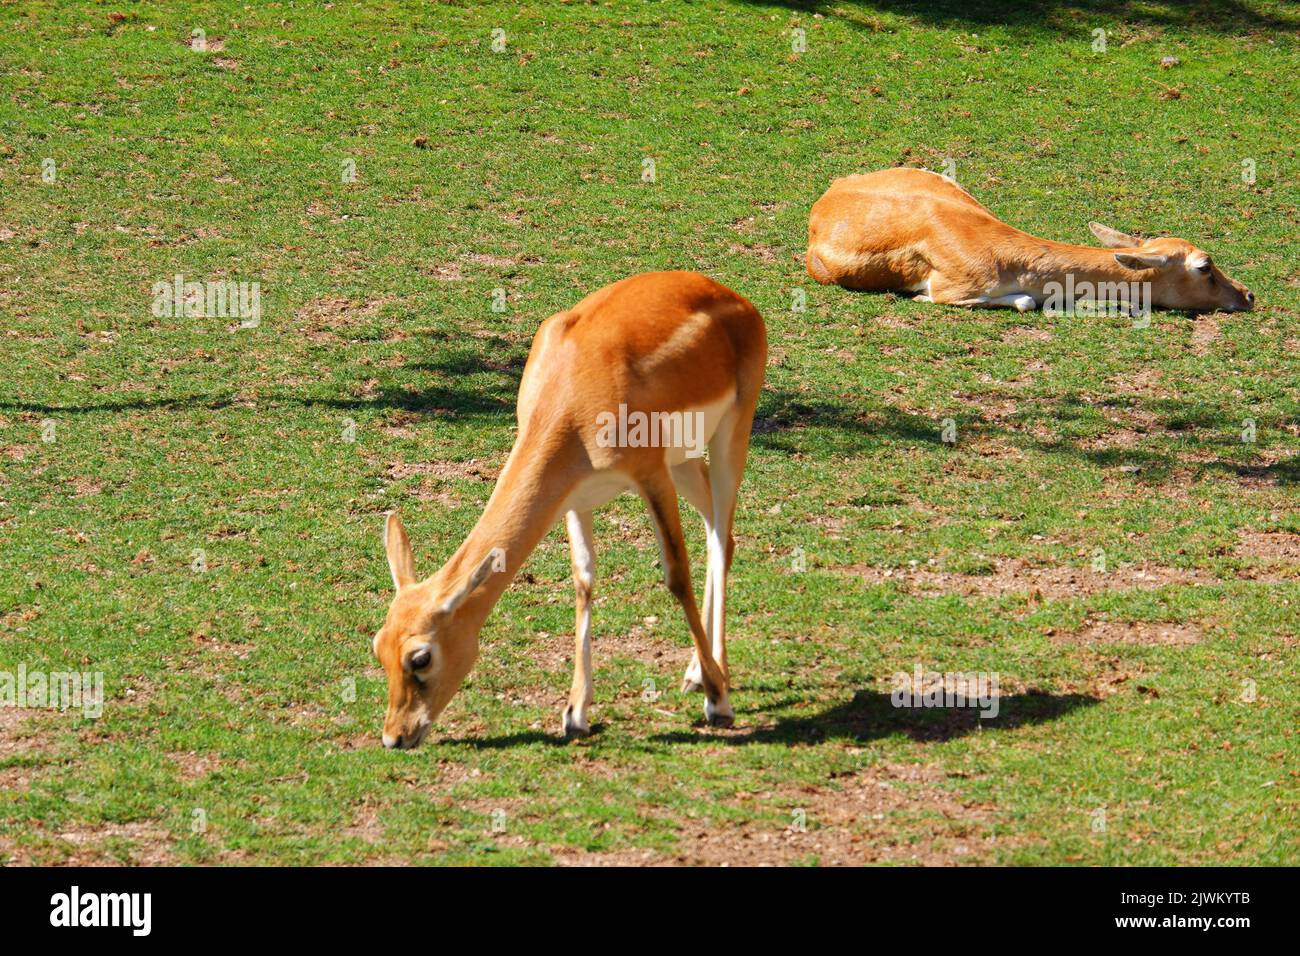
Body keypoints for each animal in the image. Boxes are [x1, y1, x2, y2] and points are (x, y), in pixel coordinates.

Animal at [373, 271, 767, 749]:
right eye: (379, 647)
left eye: (421, 657)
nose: (394, 736)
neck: (571, 393)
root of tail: (733, 297)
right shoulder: (575, 496)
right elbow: (583, 579)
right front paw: (575, 712)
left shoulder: (650, 474)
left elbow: (675, 574)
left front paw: (719, 701)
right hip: (686, 461)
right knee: (720, 532)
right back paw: (693, 673)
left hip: (730, 435)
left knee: (718, 540)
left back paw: (713, 681)